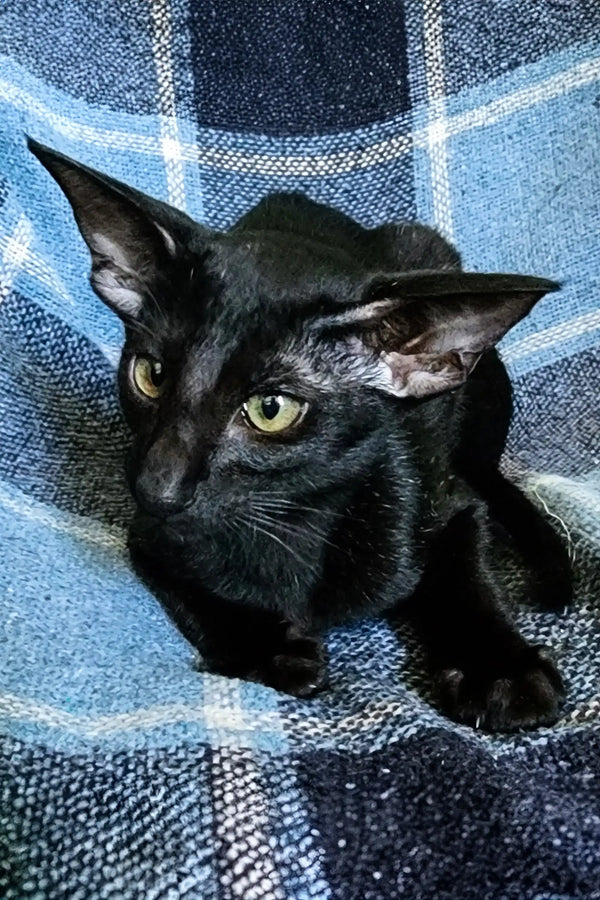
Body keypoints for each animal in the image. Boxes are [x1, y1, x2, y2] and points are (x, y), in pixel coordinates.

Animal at [29, 138, 572, 732]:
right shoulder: (150, 533)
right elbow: (188, 582)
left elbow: (464, 570)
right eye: (151, 374)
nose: (157, 486)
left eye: (271, 409)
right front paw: (265, 644)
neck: (292, 515)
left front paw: (500, 668)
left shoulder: (446, 501)